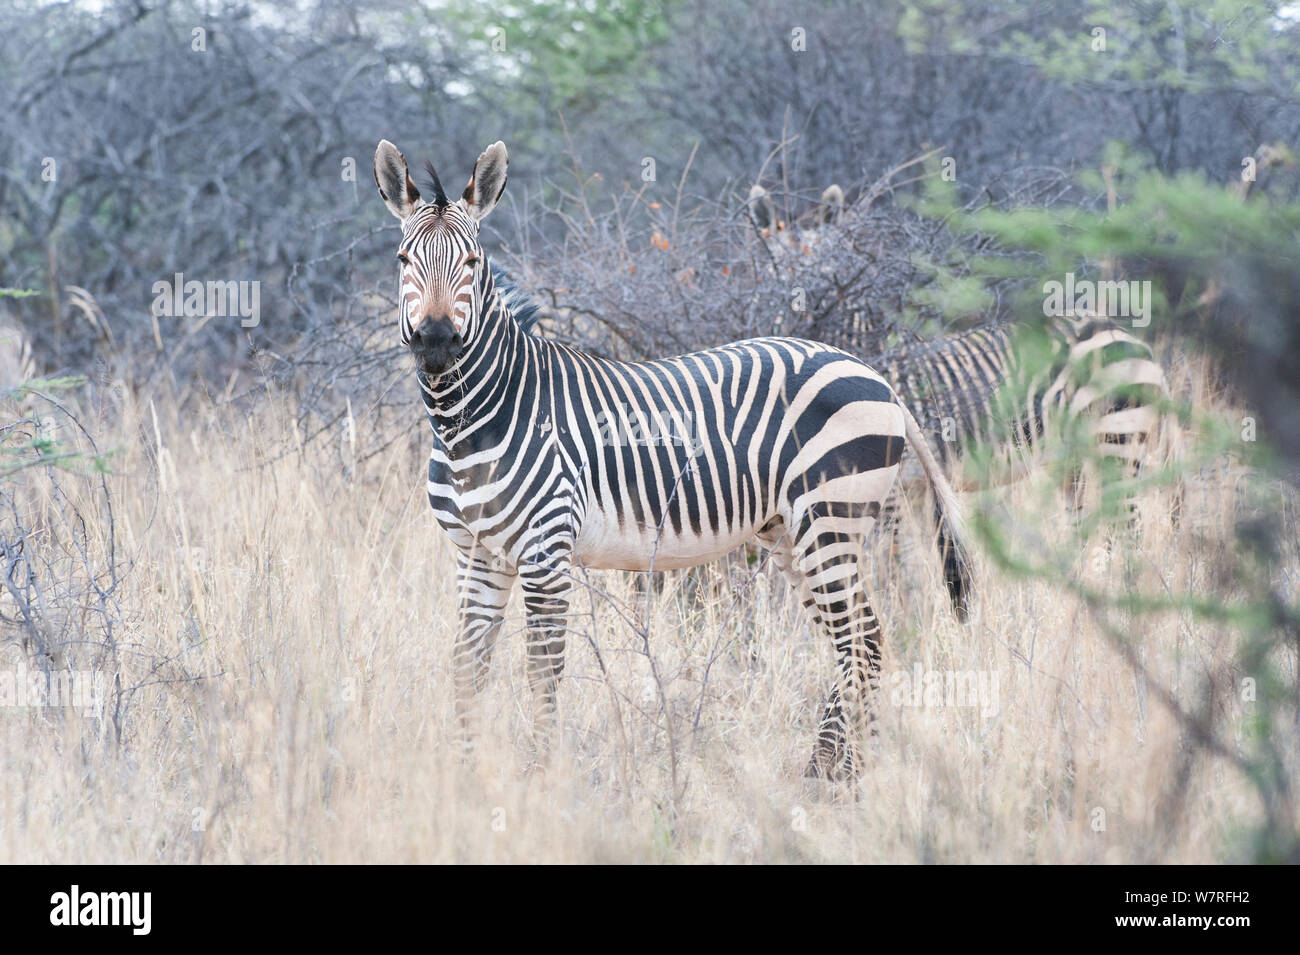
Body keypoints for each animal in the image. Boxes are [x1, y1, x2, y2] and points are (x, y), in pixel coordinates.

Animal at [373, 139, 973, 779]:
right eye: (404, 259)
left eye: (471, 263)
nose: (436, 342)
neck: (471, 420)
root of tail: (872, 372)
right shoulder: (476, 555)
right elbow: (467, 670)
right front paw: (465, 776)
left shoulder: (544, 552)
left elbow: (543, 672)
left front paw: (541, 776)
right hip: (790, 532)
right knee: (859, 640)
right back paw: (833, 769)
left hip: (830, 520)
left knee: (862, 638)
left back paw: (845, 773)